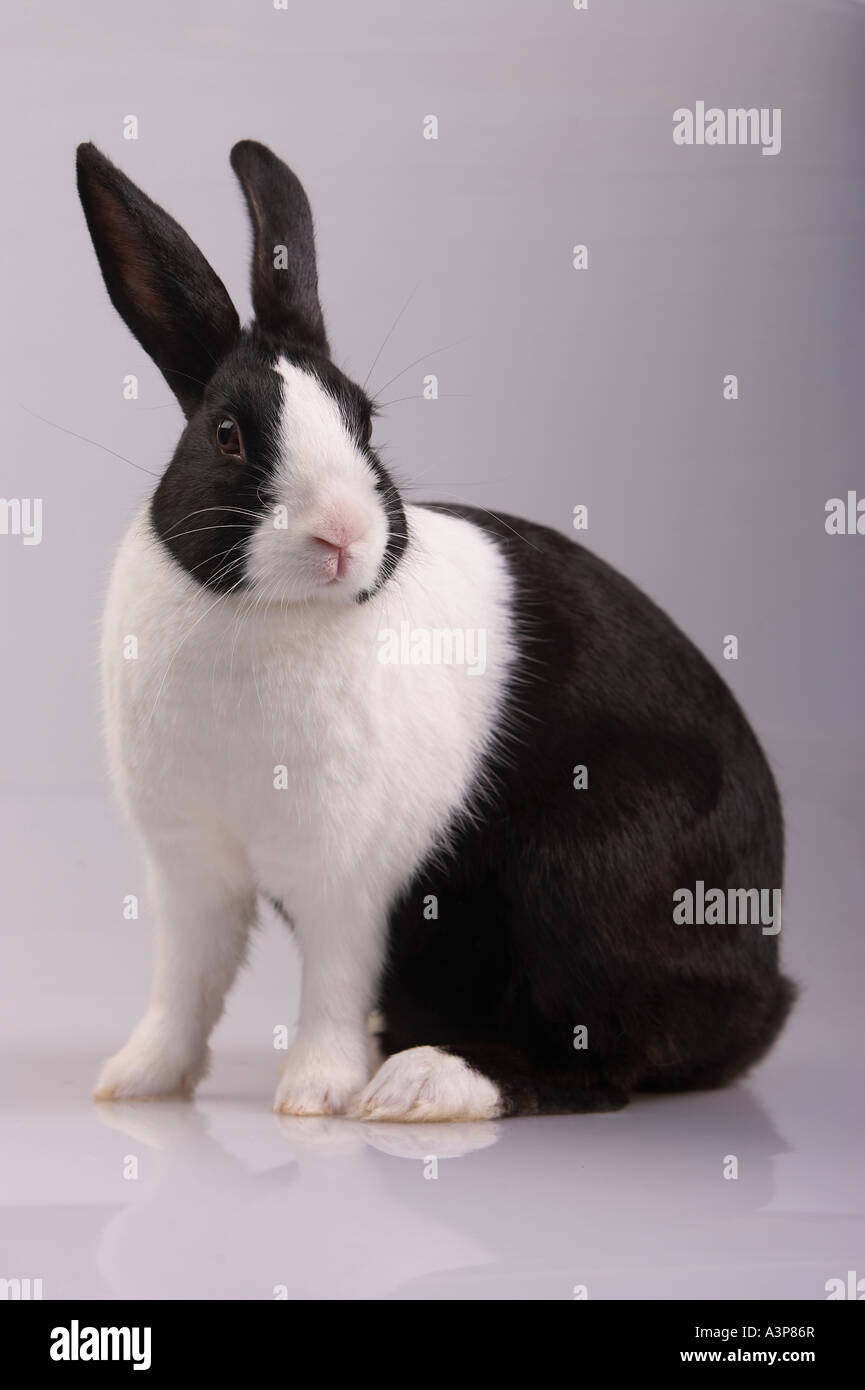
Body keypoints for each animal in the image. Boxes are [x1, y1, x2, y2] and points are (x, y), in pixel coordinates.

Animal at [76, 138, 794, 1121]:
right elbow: (187, 984)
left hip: (586, 877)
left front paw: (316, 1093)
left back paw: (422, 1082)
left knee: (602, 1057)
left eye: (365, 422)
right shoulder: (192, 871)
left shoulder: (346, 875)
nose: (343, 534)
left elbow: (332, 980)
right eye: (227, 435)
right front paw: (137, 1081)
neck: (268, 612)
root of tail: (765, 984)